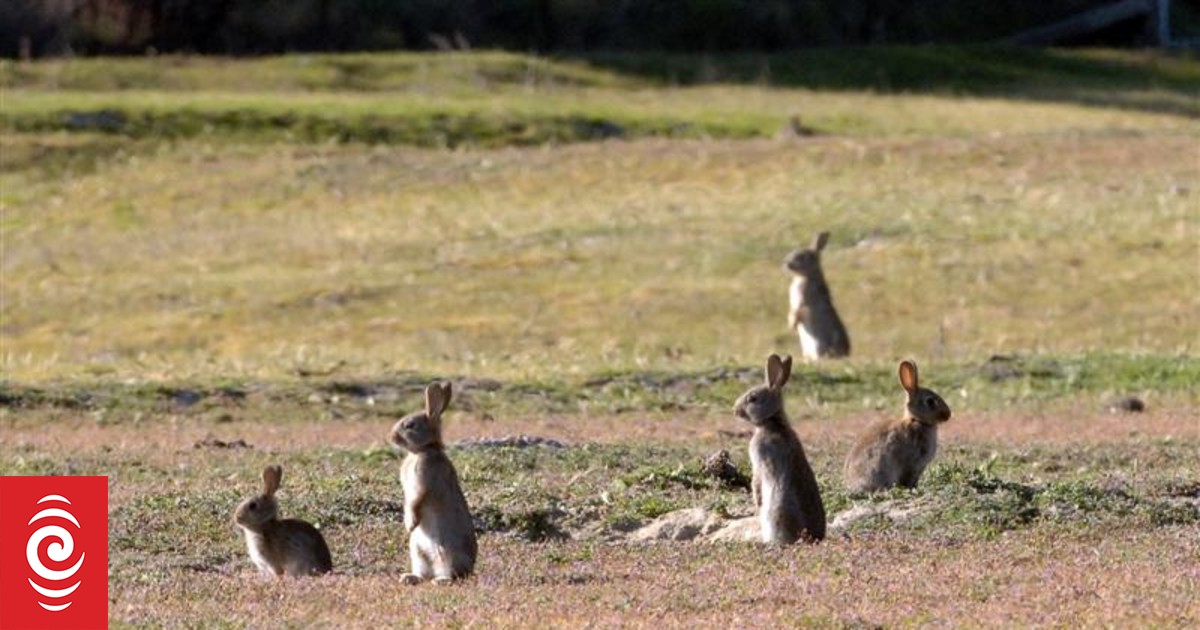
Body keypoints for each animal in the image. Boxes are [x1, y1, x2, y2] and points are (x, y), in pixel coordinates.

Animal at [390, 381, 477, 585]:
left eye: (410, 425)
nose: (392, 436)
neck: (423, 450)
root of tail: (471, 569)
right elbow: (407, 502)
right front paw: (408, 524)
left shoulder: (424, 483)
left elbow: (416, 501)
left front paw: (410, 524)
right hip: (417, 552)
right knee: (423, 574)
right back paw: (408, 578)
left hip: (448, 552)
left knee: (453, 575)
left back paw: (441, 581)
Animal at [733, 354, 827, 544]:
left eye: (752, 398)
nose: (735, 409)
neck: (772, 423)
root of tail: (812, 537)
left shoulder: (760, 461)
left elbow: (756, 481)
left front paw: (757, 501)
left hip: (777, 514)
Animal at [784, 231, 851, 361]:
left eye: (802, 256)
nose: (787, 263)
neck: (806, 276)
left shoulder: (803, 301)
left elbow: (798, 311)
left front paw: (792, 326)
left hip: (819, 344)